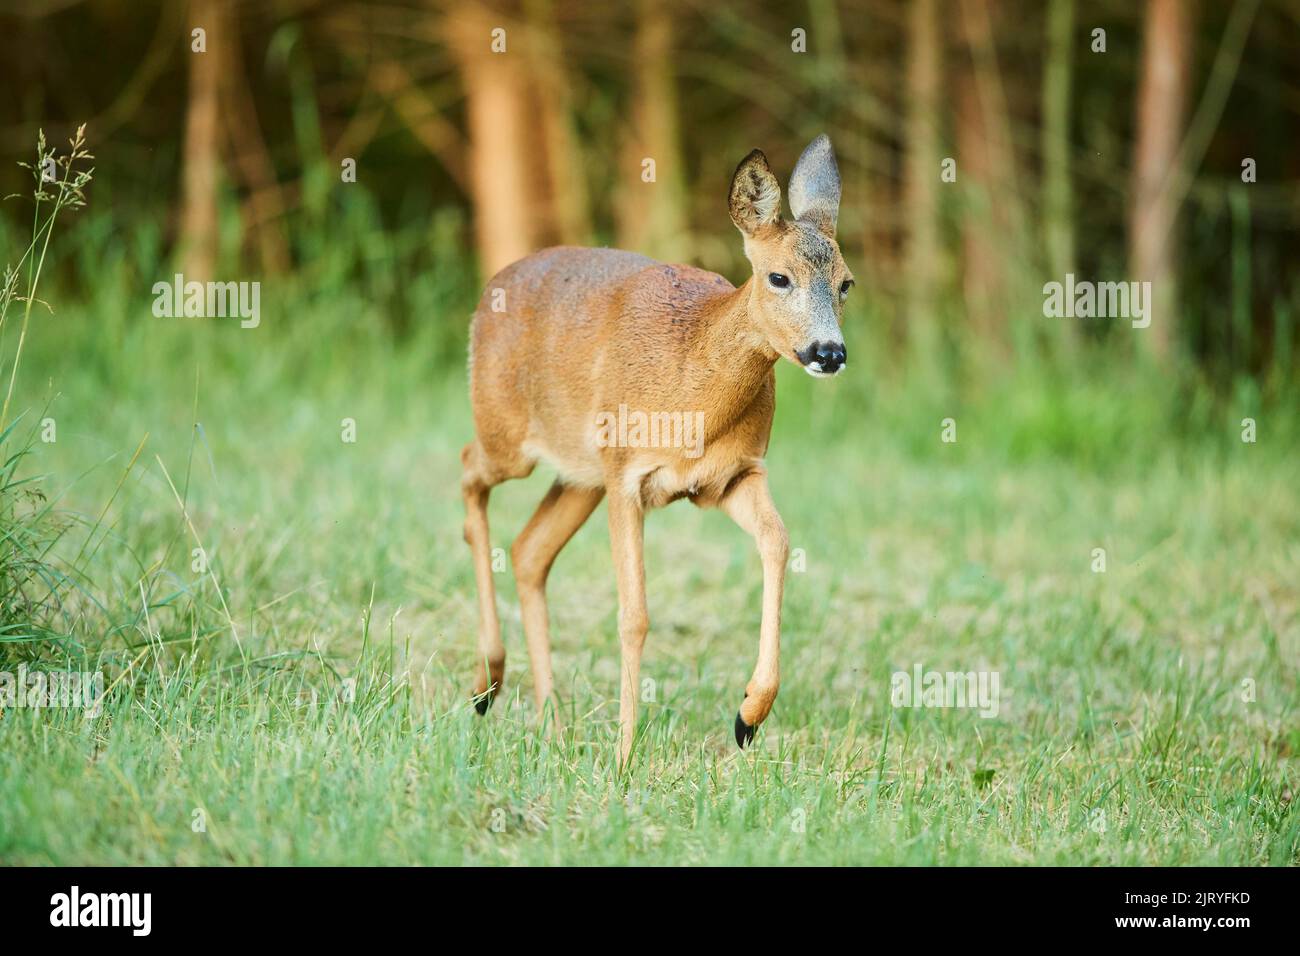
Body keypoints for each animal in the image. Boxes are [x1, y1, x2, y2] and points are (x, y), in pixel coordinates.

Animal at [460, 135, 852, 766]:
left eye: (846, 283)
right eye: (778, 277)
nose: (829, 352)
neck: (692, 392)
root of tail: (489, 289)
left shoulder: (732, 476)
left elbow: (778, 542)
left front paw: (748, 715)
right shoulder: (628, 477)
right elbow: (634, 615)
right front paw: (623, 757)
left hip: (580, 476)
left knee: (528, 550)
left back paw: (550, 723)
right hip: (511, 436)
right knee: (469, 472)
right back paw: (487, 683)